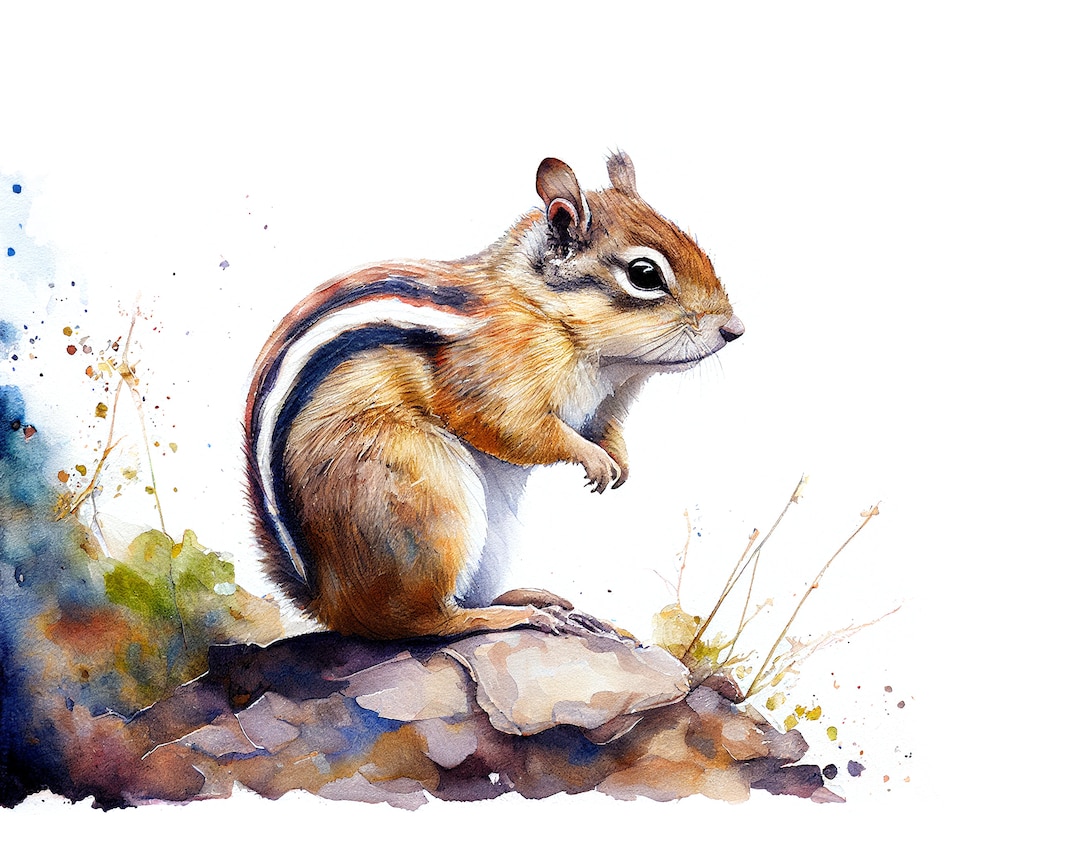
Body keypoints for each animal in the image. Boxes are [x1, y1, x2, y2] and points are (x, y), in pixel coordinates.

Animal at [244, 152, 743, 641]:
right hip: (424, 499)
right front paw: (595, 460)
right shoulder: (492, 378)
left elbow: (603, 428)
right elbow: (514, 428)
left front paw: (619, 461)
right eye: (644, 274)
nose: (734, 330)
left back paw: (530, 599)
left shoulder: (605, 403)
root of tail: (328, 600)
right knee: (415, 622)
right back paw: (504, 618)